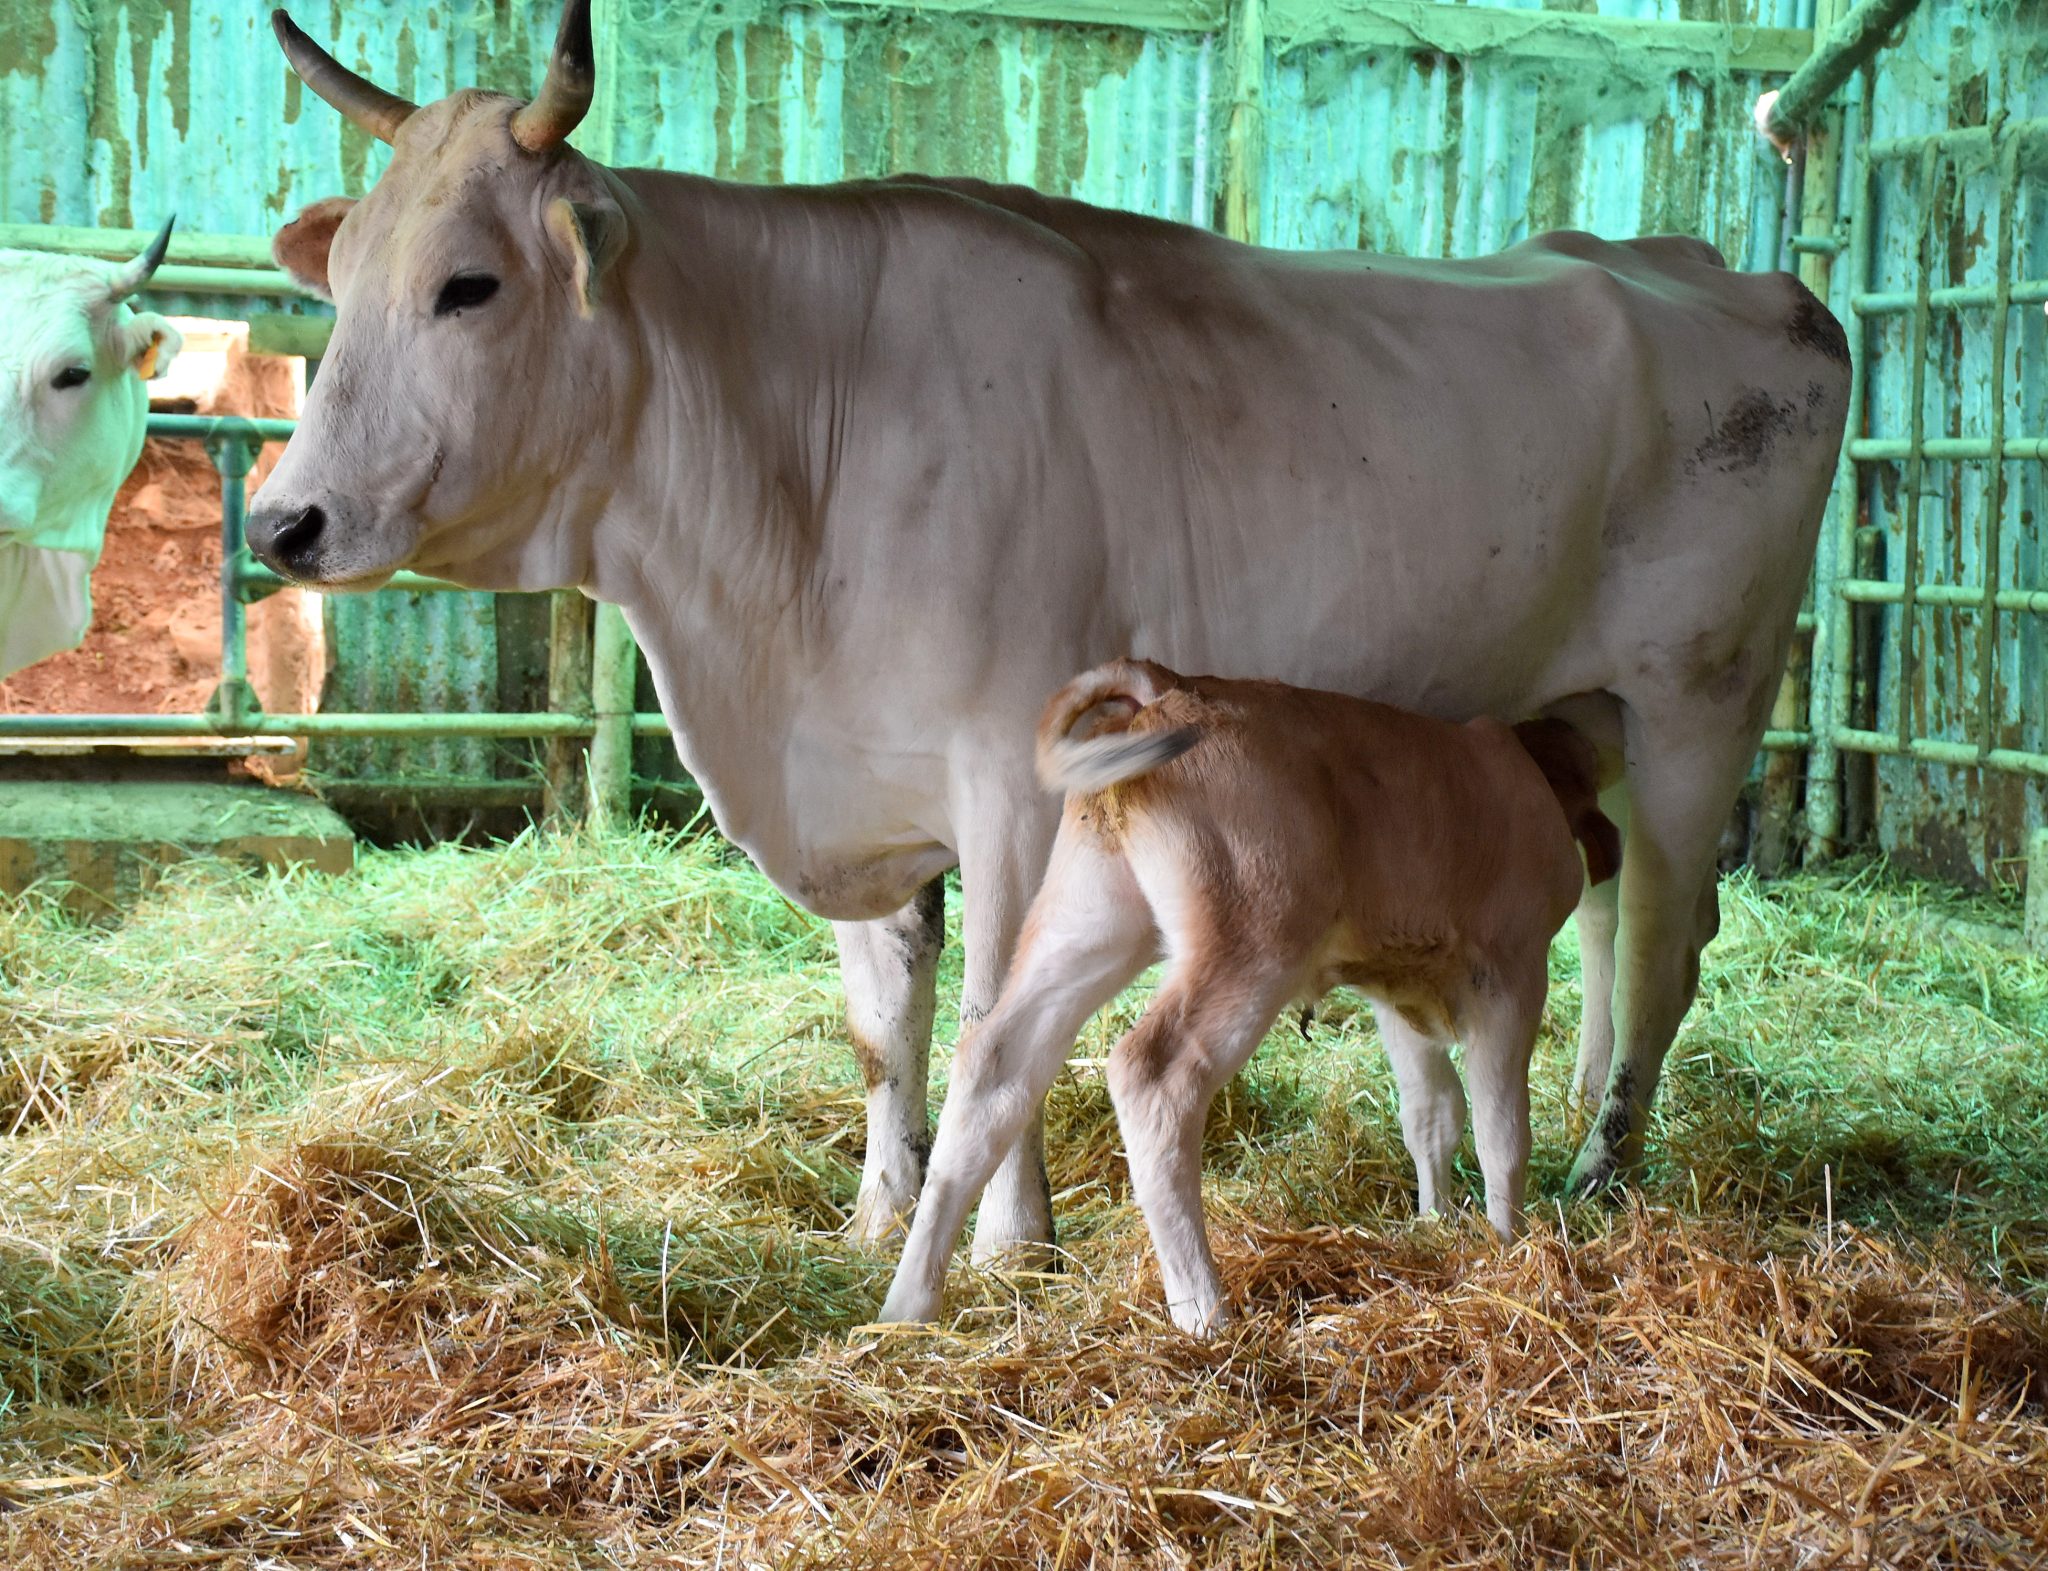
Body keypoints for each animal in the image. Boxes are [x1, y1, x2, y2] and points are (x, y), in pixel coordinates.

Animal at [244, 0, 1851, 1263]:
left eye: (469, 284)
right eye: (341, 278)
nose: (281, 522)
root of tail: (1724, 270)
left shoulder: (1017, 780)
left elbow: (992, 1017)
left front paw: (1010, 1237)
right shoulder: (865, 778)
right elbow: (884, 1018)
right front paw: (878, 1211)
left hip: (1700, 702)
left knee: (1665, 938)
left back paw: (1602, 1167)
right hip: (1576, 712)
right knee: (1602, 904)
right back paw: (1581, 1112)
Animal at [878, 660, 1620, 1334]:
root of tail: (1168, 685)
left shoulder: (1394, 991)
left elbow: (1433, 1115)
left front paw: (1437, 1222)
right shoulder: (1512, 971)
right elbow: (1503, 1129)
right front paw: (1510, 1243)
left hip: (1086, 918)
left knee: (992, 1064)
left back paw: (906, 1308)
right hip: (1252, 933)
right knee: (1152, 1073)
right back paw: (1205, 1314)